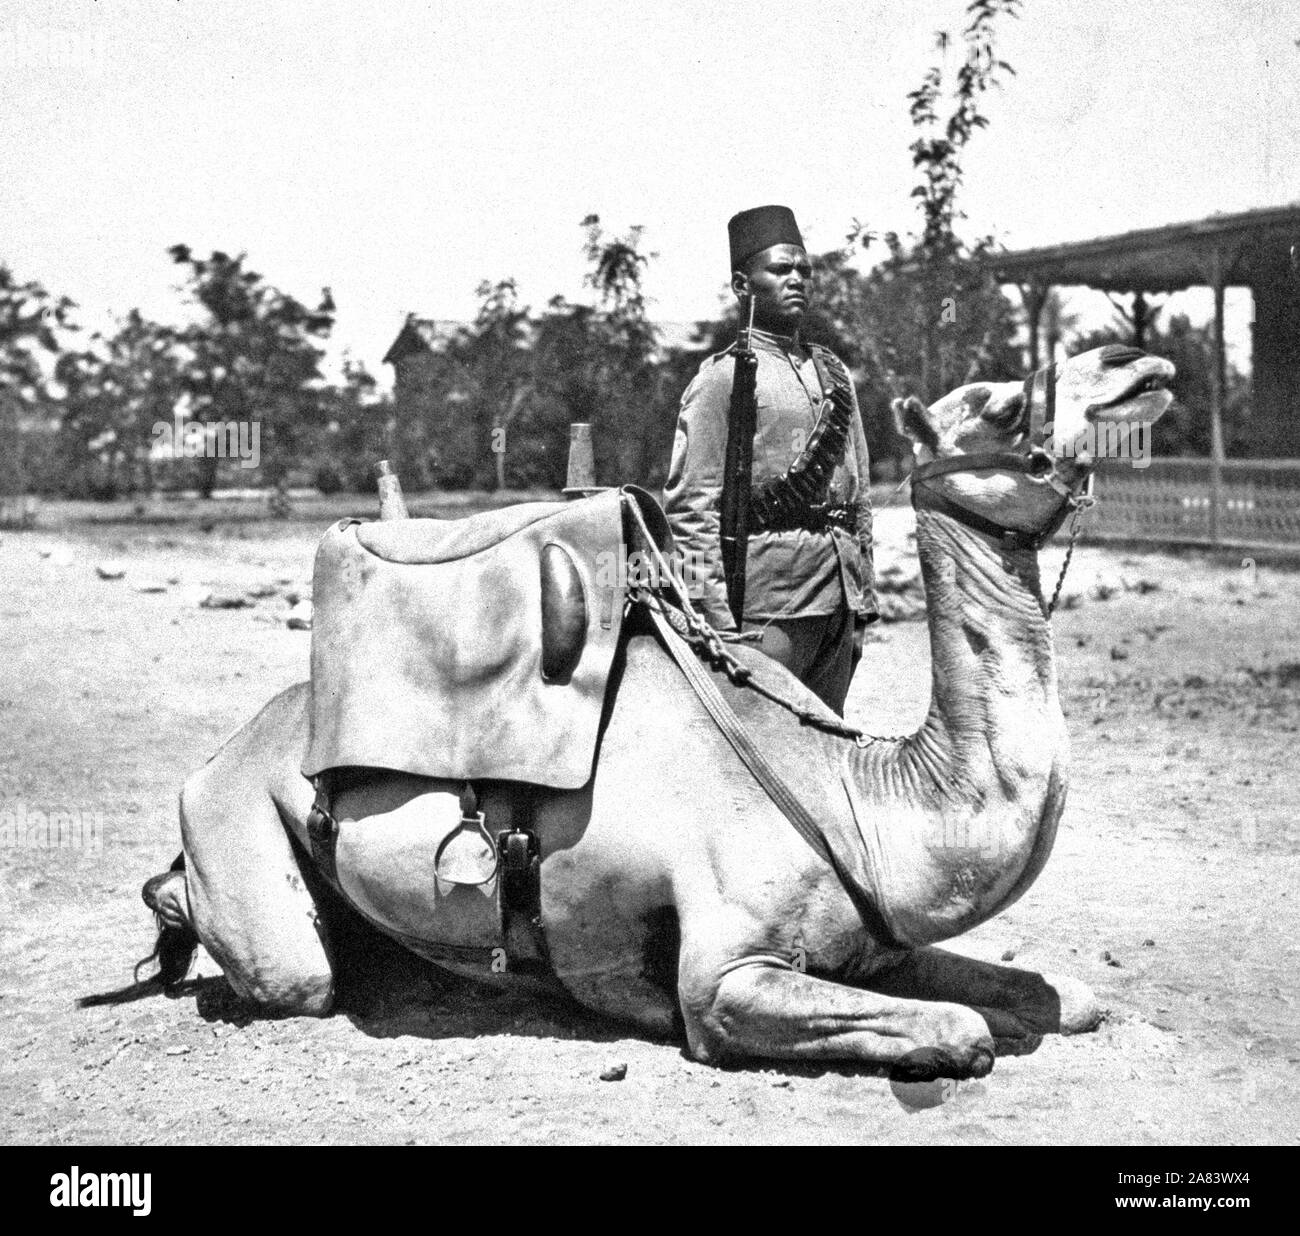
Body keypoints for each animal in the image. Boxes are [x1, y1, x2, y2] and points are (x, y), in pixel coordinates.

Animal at [142, 344, 1173, 1080]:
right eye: (1001, 403)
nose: (1140, 362)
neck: (858, 799)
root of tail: (221, 753)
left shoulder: (877, 950)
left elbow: (1065, 995)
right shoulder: (725, 979)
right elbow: (963, 1031)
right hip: (240, 834)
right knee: (290, 968)